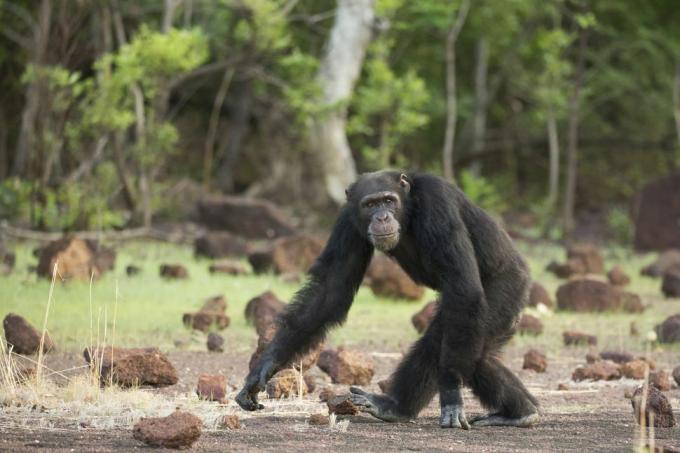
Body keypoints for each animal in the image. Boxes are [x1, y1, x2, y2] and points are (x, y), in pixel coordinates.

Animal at [236, 169, 540, 428]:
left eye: (388, 200)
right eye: (370, 204)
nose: (381, 216)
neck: (409, 207)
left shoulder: (437, 203)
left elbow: (462, 286)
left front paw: (452, 395)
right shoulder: (347, 221)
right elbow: (330, 291)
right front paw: (265, 366)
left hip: (507, 289)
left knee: (456, 335)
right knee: (475, 354)